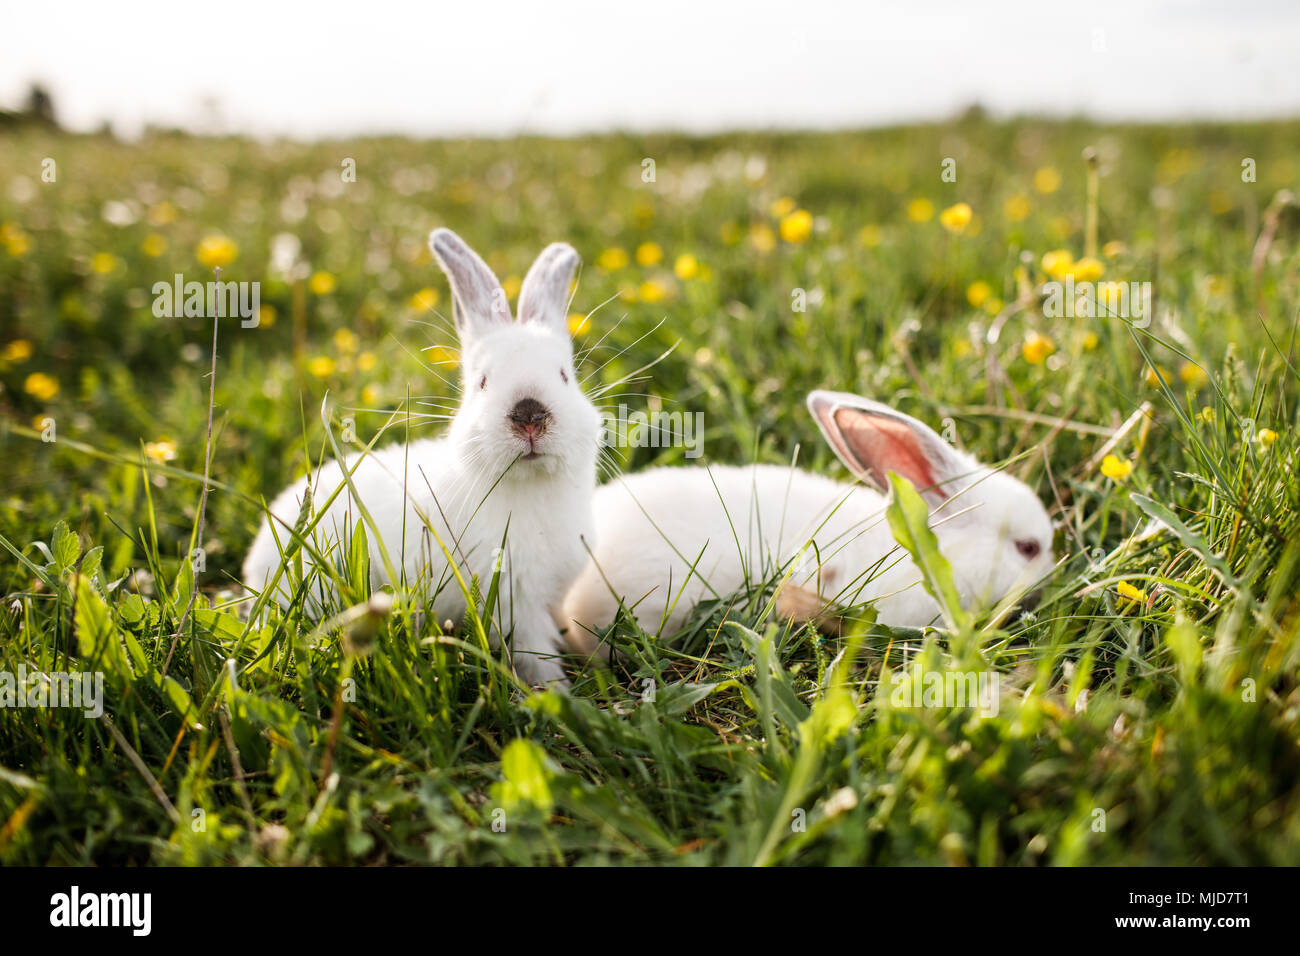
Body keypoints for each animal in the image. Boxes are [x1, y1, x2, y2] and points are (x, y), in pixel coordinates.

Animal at [242, 228, 603, 685]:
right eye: (482, 382)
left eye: (565, 376)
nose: (529, 416)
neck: (531, 486)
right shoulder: (517, 606)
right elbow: (535, 656)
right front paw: (557, 692)